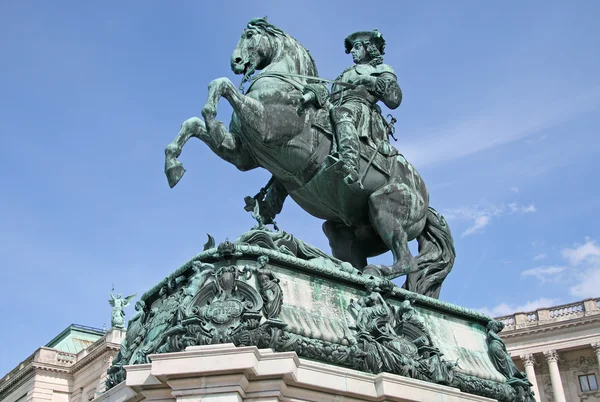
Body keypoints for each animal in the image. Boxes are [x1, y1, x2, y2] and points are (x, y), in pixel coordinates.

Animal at [164, 18, 454, 298]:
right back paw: (337, 267)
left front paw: (210, 111)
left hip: (384, 206)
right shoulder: (241, 154)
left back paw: (375, 271)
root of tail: (425, 199)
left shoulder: (265, 126)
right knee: (354, 260)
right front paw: (173, 164)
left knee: (407, 260)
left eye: (249, 35)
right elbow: (193, 122)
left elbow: (221, 85)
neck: (286, 86)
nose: (235, 61)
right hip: (340, 231)